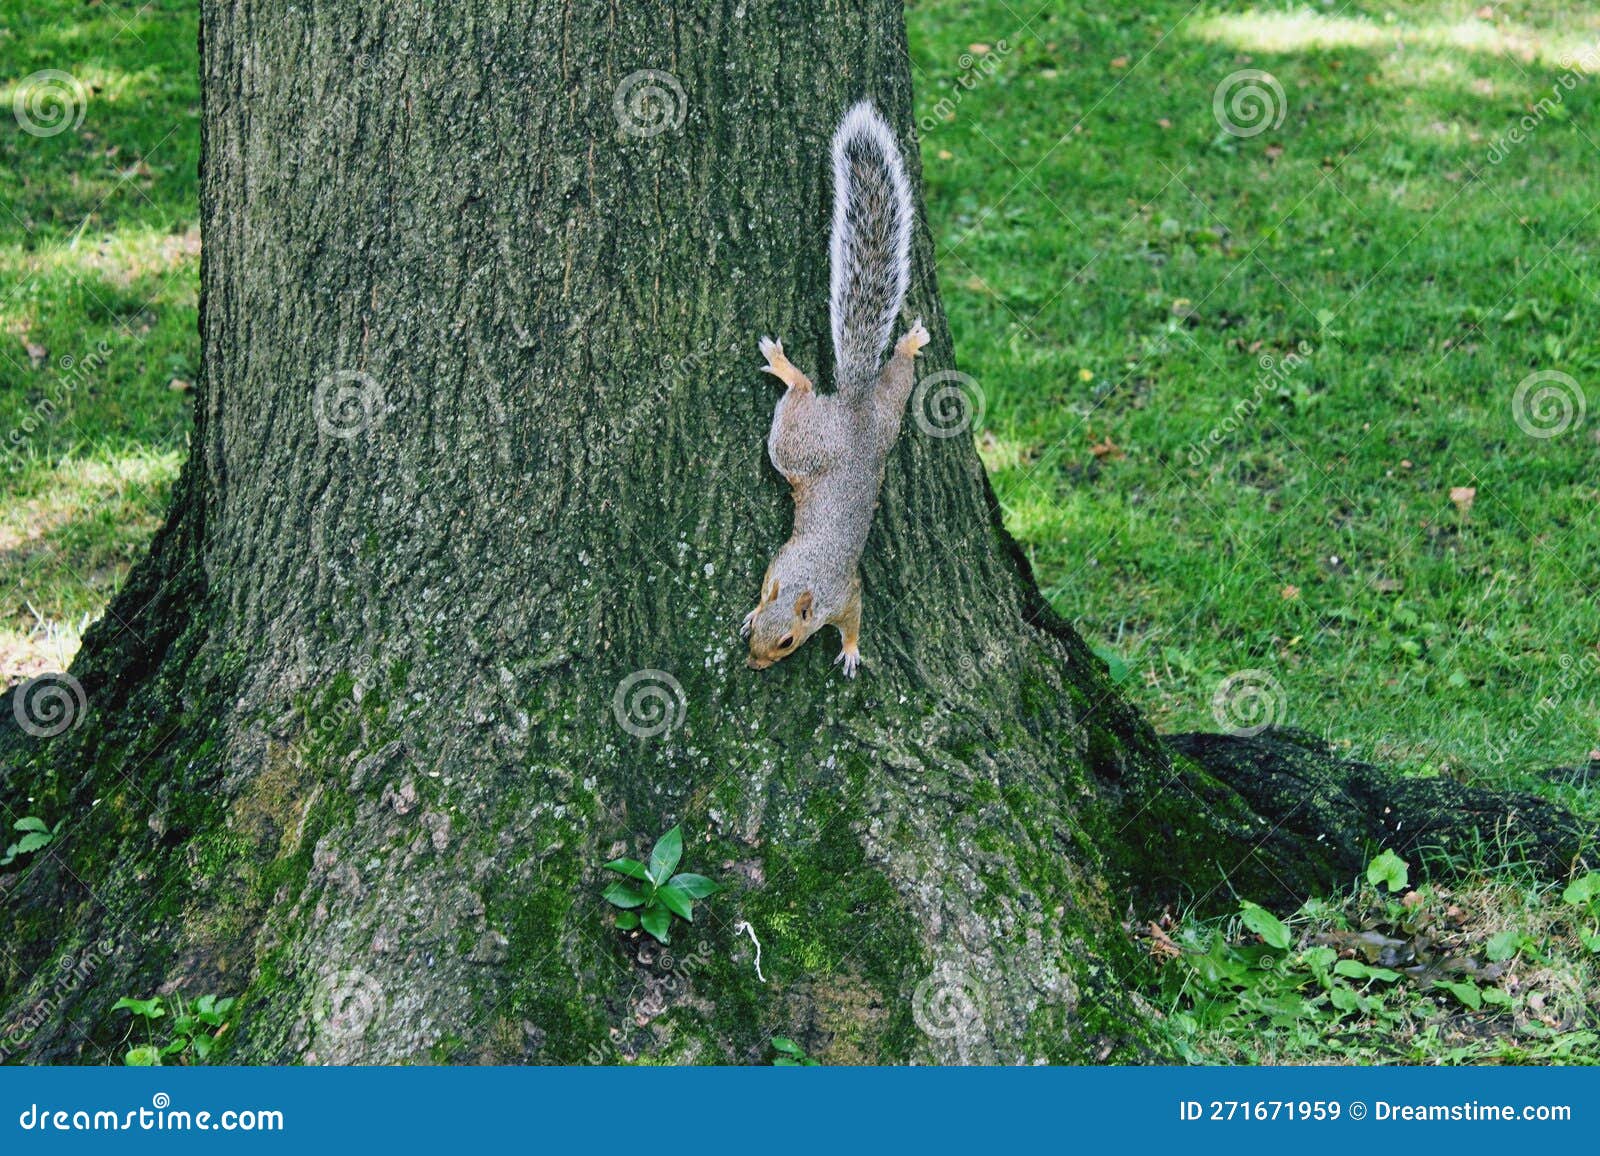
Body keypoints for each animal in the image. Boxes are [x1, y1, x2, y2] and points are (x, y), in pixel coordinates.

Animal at [741, 100, 929, 677]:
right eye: (757, 630)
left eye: (786, 643)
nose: (755, 666)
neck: (806, 580)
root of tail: (854, 409)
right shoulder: (780, 561)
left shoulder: (845, 593)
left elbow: (854, 618)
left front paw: (850, 650)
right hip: (865, 420)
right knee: (875, 378)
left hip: (813, 437)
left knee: (813, 387)